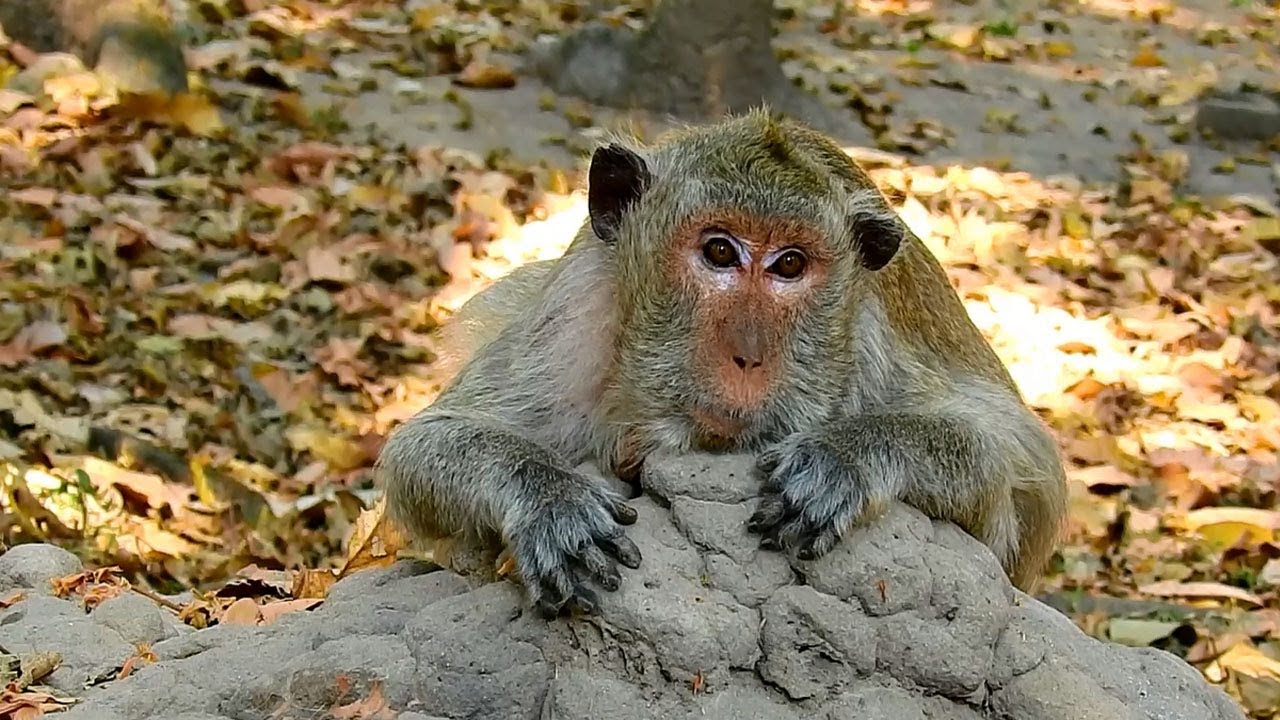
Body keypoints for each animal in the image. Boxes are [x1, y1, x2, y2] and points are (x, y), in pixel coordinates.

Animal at [375, 108, 1068, 618]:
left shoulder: (868, 345)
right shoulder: (574, 316)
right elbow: (422, 447)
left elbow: (1015, 466)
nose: (748, 355)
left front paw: (846, 456)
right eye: (717, 252)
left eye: (790, 264)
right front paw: (550, 501)